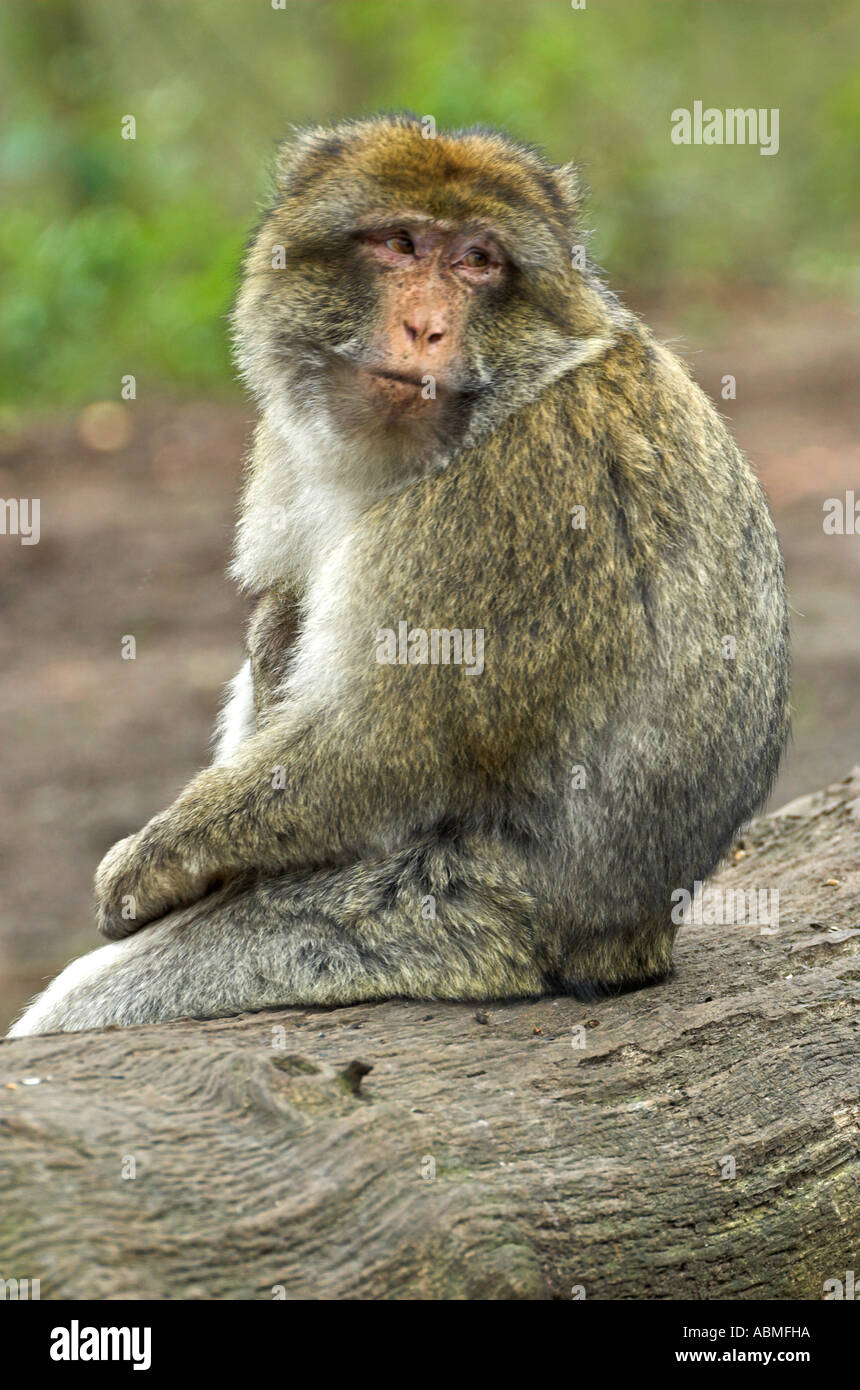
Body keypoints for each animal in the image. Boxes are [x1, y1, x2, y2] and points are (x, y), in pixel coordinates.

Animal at [8, 115, 789, 1038]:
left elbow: (382, 745)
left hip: (454, 924)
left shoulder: (511, 492)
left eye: (478, 261)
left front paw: (151, 864)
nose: (425, 327)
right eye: (401, 245)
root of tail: (635, 945)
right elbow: (287, 621)